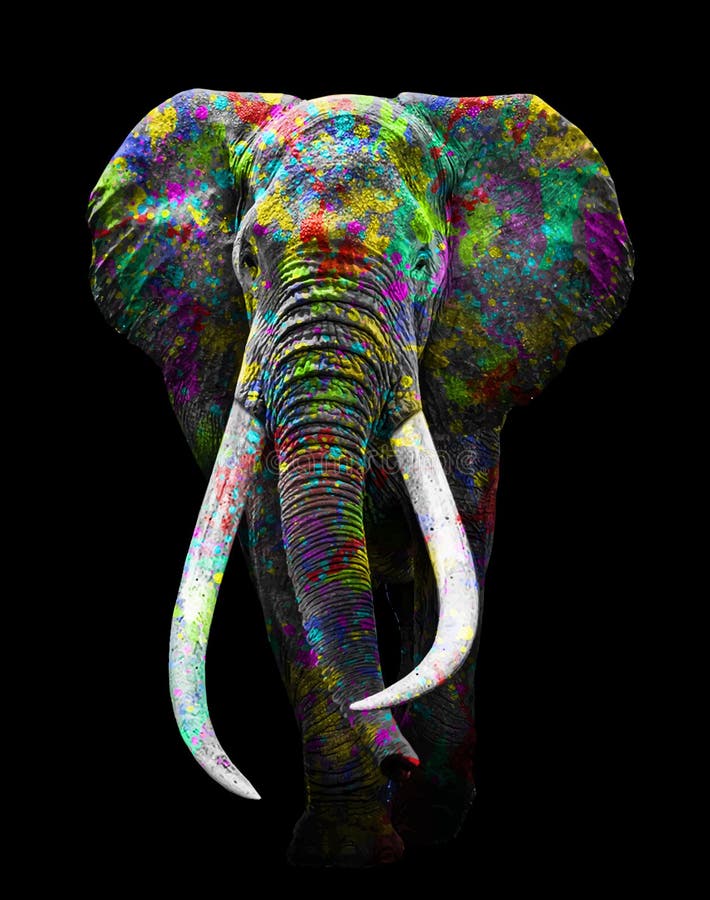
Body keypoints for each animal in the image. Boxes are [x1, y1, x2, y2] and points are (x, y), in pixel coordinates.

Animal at [88, 88, 633, 867]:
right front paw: (350, 848)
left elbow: (453, 563)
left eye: (425, 263)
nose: (397, 761)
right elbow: (282, 564)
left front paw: (427, 827)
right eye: (246, 258)